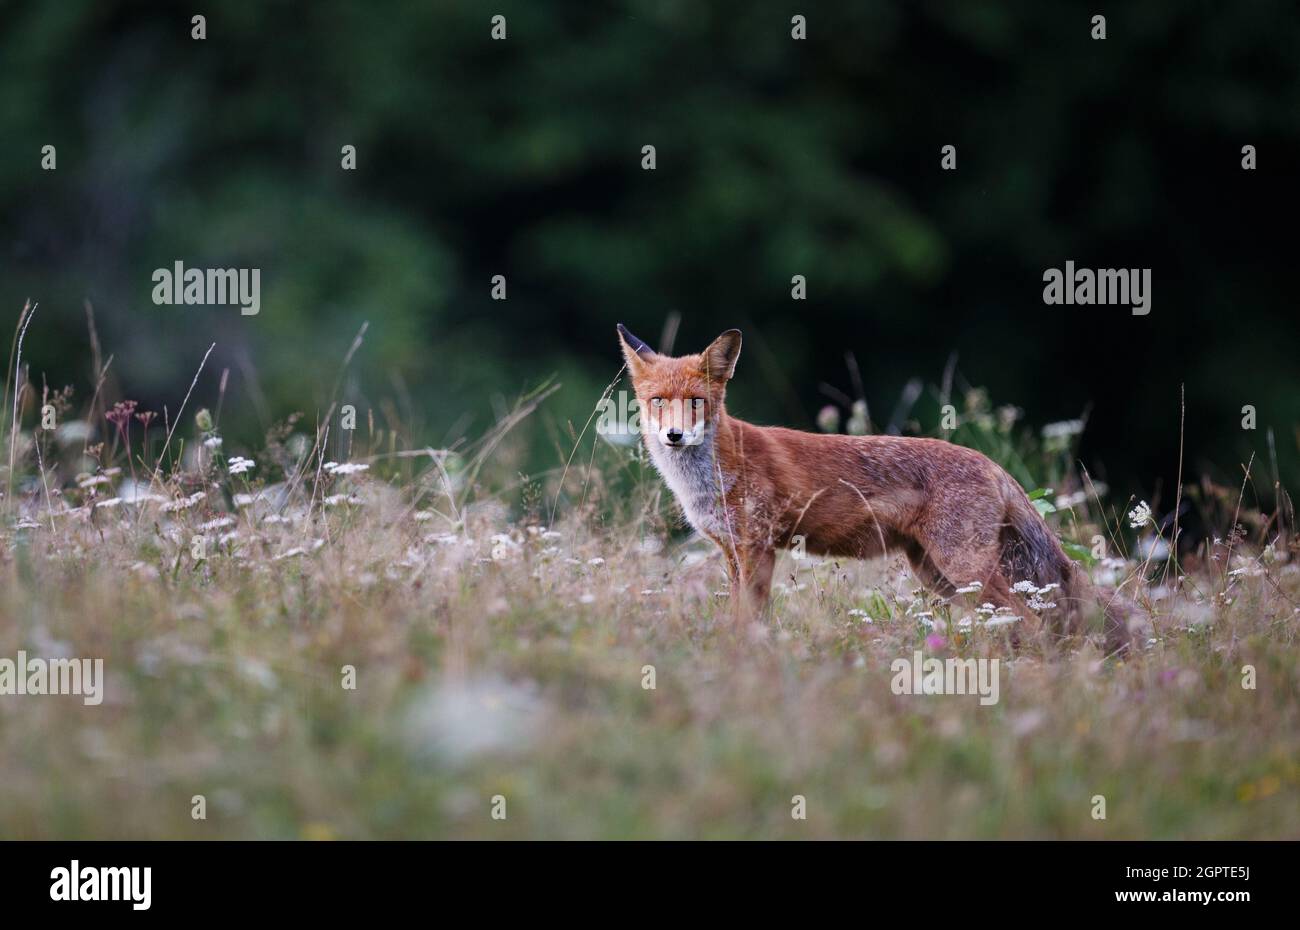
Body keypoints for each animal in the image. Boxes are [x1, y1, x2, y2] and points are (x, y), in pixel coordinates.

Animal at [617, 323, 1132, 652]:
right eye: (658, 402)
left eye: (695, 403)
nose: (674, 436)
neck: (711, 475)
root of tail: (993, 464)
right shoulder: (732, 551)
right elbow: (741, 615)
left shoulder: (758, 547)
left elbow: (751, 616)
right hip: (940, 577)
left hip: (964, 570)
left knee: (1031, 622)